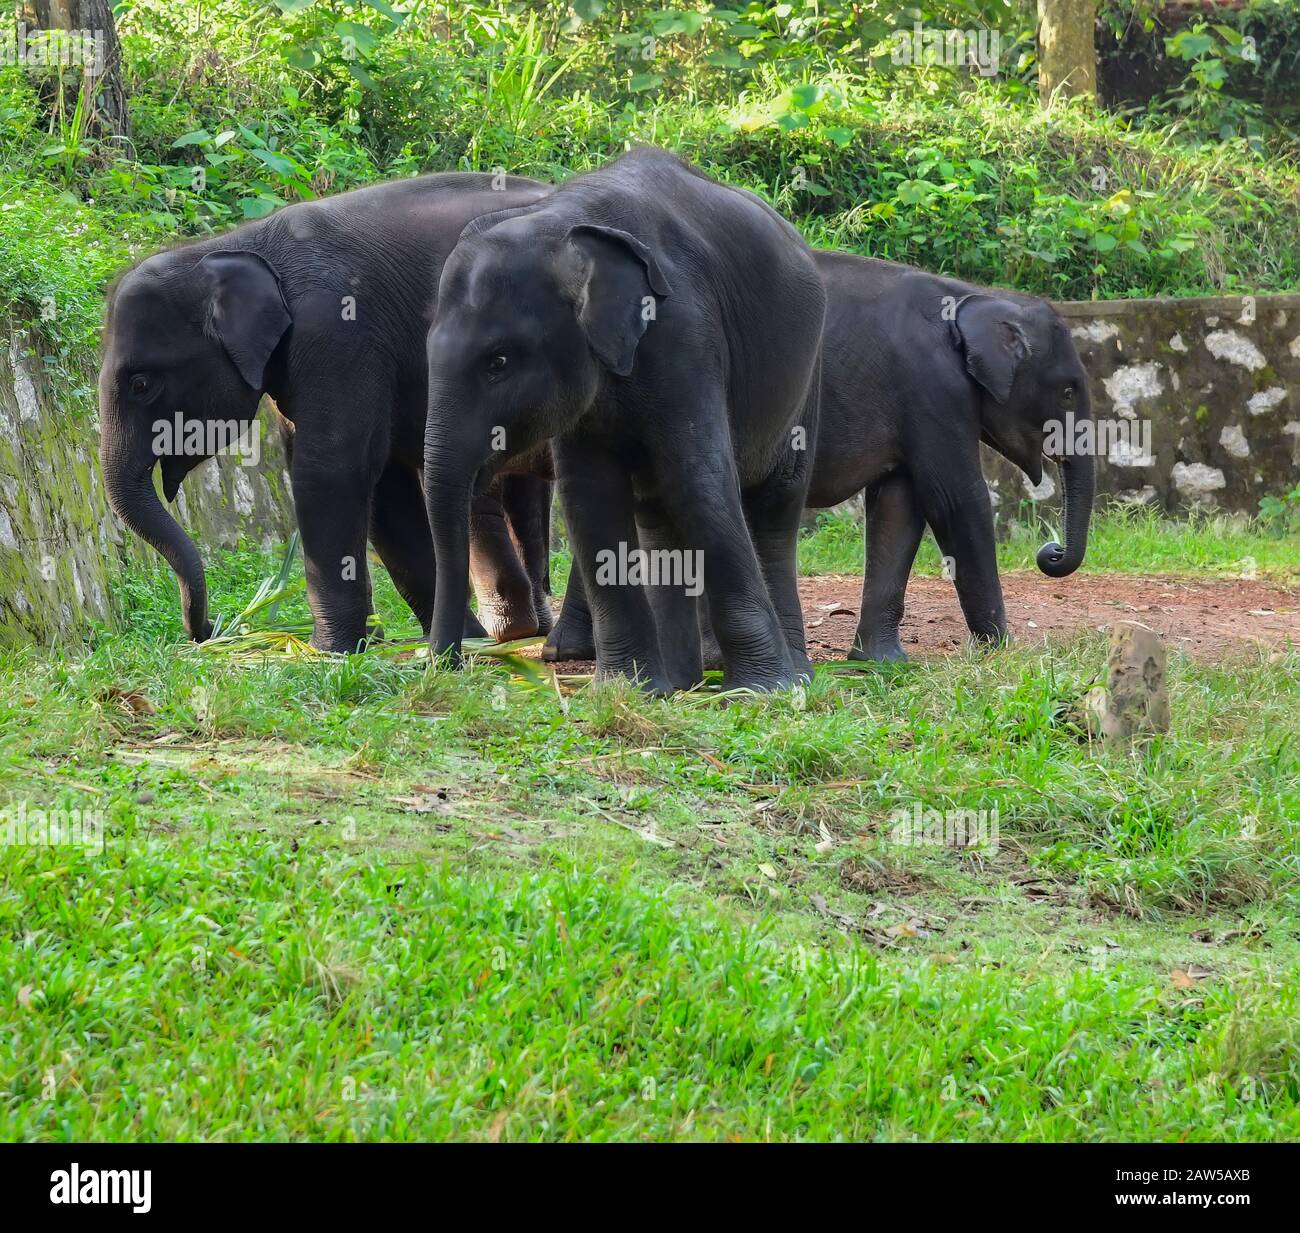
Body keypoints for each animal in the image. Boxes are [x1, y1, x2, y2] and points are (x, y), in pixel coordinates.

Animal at [98, 172, 559, 653]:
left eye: (141, 384)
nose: (208, 632)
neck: (231, 244)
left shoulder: (338, 332)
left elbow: (331, 471)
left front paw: (329, 649)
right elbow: (386, 492)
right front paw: (448, 639)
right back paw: (521, 629)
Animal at [421, 147, 826, 693]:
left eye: (498, 361)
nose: (444, 664)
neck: (558, 221)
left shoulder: (685, 331)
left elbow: (699, 479)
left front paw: (762, 691)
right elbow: (590, 496)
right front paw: (628, 689)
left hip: (807, 381)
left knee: (774, 507)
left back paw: (793, 675)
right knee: (658, 513)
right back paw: (681, 682)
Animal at [544, 251, 1095, 665]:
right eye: (1069, 390)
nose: (1049, 553)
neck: (972, 295)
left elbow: (899, 507)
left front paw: (879, 663)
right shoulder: (935, 389)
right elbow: (957, 499)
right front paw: (1001, 650)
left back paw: (568, 653)